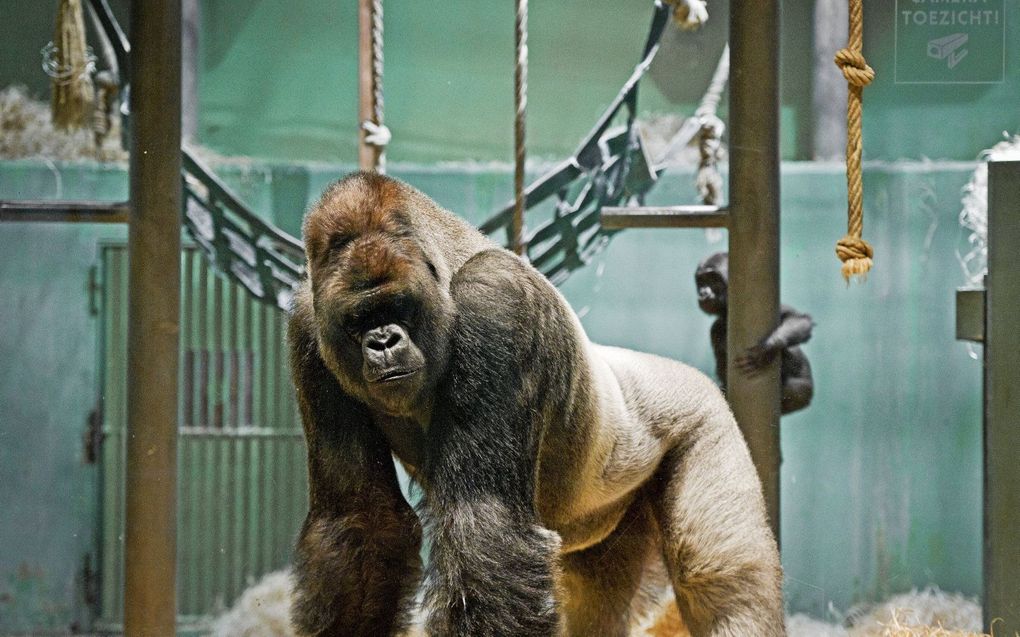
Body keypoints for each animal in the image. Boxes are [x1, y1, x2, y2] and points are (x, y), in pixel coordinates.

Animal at [287, 172, 784, 637]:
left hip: (704, 412)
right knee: (595, 596)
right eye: (358, 320)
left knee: (719, 575)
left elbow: (489, 534)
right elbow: (361, 520)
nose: (383, 342)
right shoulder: (309, 327)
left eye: (398, 305)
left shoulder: (495, 301)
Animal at [694, 251, 815, 415]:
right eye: (701, 280)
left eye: (714, 279)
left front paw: (766, 350)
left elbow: (798, 319)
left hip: (802, 392)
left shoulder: (779, 308)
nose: (703, 292)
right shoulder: (715, 329)